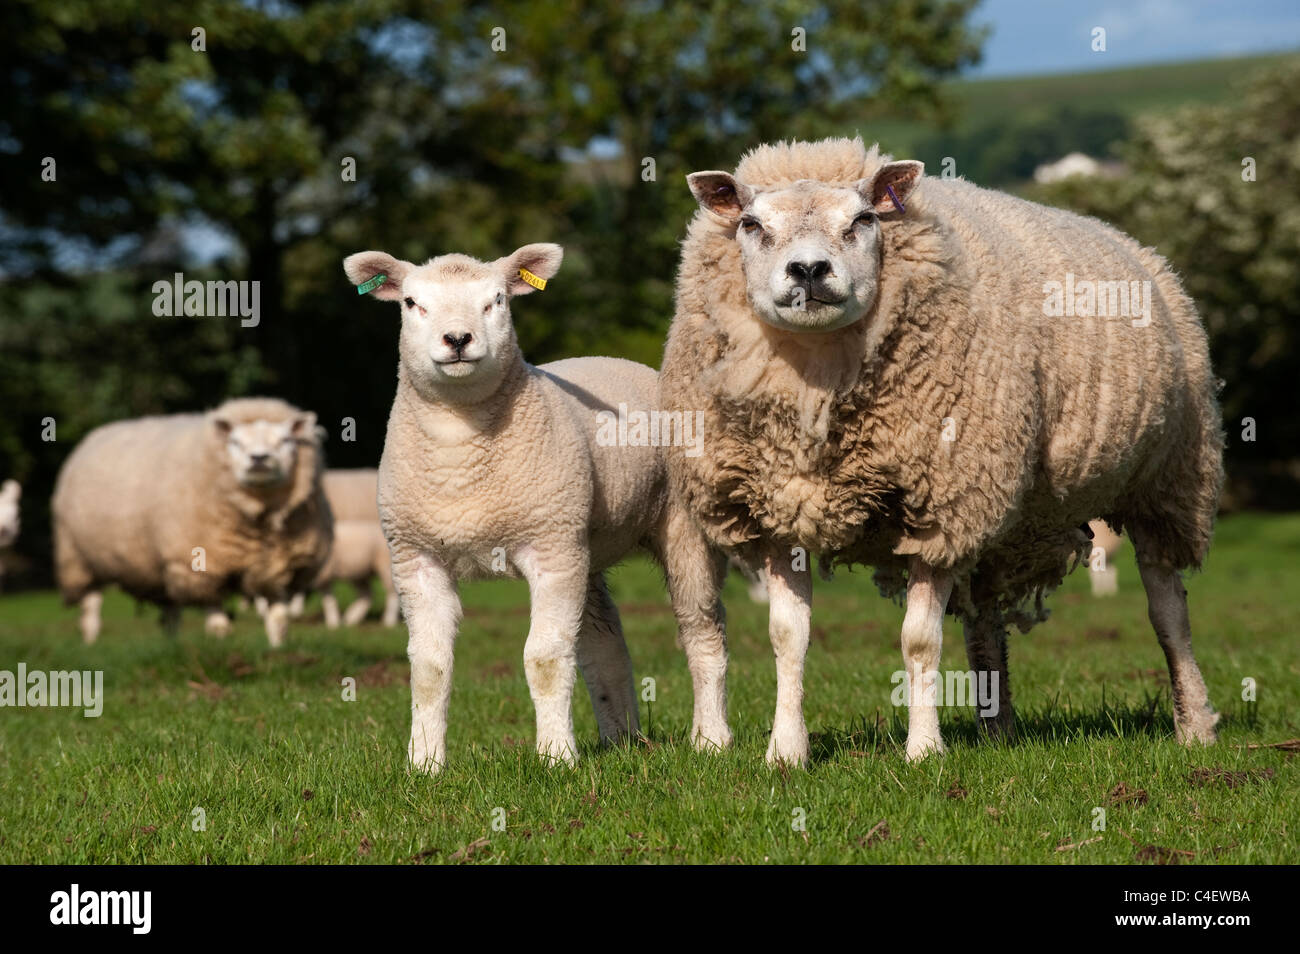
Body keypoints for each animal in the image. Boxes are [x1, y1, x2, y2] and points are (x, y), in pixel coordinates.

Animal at [52, 397, 333, 647]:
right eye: (235, 442)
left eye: (286, 440)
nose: (259, 459)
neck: (257, 523)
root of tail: (94, 434)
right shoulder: (201, 567)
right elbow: (219, 624)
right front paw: (221, 650)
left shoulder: (277, 570)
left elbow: (279, 620)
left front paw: (278, 651)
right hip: (79, 559)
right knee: (91, 608)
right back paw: (91, 643)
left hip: (160, 568)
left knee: (170, 613)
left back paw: (171, 646)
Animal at [344, 242, 731, 772]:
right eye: (410, 302)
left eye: (498, 300)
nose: (457, 339)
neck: (460, 453)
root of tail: (638, 367)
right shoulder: (416, 558)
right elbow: (429, 667)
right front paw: (424, 764)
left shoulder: (550, 552)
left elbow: (544, 659)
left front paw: (556, 757)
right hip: (581, 543)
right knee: (605, 647)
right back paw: (622, 740)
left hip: (675, 531)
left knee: (702, 632)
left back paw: (711, 739)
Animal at [660, 136, 1223, 765]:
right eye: (752, 224)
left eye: (863, 219)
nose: (808, 270)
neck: (817, 383)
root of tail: (1140, 249)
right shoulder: (782, 512)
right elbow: (788, 637)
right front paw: (786, 752)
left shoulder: (942, 512)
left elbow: (919, 641)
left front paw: (924, 751)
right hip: (1004, 508)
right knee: (985, 618)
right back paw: (997, 726)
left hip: (1168, 480)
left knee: (1168, 609)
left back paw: (1195, 725)